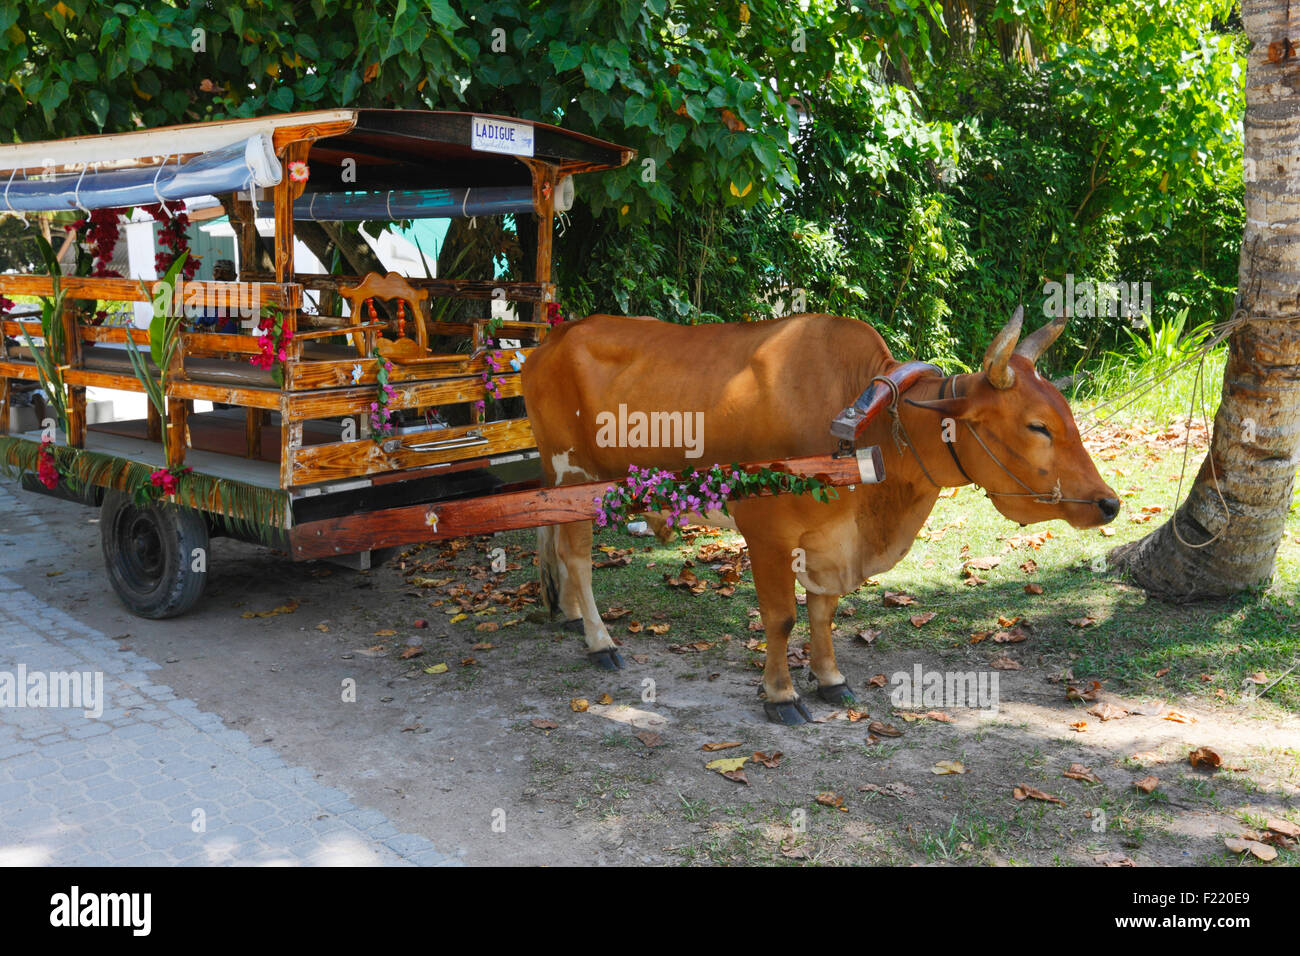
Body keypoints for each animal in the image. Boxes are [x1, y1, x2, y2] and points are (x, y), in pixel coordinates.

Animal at [520, 308, 1119, 724]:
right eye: (1037, 425)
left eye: (1065, 413)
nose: (1108, 502)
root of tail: (551, 338)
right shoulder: (765, 529)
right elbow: (781, 617)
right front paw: (780, 694)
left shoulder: (832, 538)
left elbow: (824, 612)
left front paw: (830, 679)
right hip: (572, 474)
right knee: (576, 555)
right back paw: (600, 641)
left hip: (563, 482)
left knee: (551, 540)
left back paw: (567, 614)